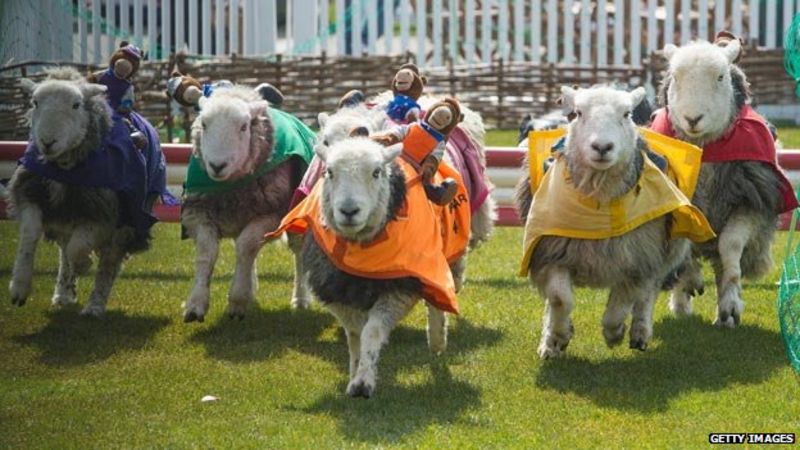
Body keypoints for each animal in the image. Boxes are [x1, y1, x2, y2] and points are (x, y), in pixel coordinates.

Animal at [7, 67, 161, 316]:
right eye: (34, 102)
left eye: (76, 105)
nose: (47, 141)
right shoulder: (31, 192)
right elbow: (31, 233)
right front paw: (19, 286)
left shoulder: (104, 213)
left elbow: (78, 248)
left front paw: (84, 264)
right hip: (66, 215)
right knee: (64, 250)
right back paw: (63, 293)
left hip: (127, 222)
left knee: (108, 260)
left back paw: (94, 305)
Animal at [180, 85, 314, 322]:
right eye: (203, 124)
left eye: (243, 127)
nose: (217, 165)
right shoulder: (198, 212)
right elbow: (208, 252)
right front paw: (195, 304)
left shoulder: (273, 214)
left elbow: (246, 246)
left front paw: (237, 300)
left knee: (297, 253)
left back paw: (300, 299)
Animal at [269, 137, 470, 397]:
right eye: (329, 172)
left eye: (376, 172)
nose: (349, 211)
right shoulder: (339, 292)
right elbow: (355, 337)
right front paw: (357, 373)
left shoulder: (399, 290)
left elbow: (371, 332)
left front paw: (363, 383)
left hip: (447, 259)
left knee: (438, 299)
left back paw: (437, 339)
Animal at [516, 85, 712, 359]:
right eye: (578, 113)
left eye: (626, 114)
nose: (602, 146)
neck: (597, 207)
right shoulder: (551, 253)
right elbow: (559, 299)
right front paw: (557, 337)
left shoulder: (635, 260)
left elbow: (620, 304)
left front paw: (614, 333)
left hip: (665, 250)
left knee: (648, 293)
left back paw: (640, 331)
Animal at [652, 40, 798, 327]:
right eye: (675, 77)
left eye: (721, 77)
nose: (692, 118)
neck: (705, 152)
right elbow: (684, 246)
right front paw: (690, 280)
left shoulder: (750, 199)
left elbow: (730, 247)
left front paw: (731, 305)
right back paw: (681, 302)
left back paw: (723, 314)